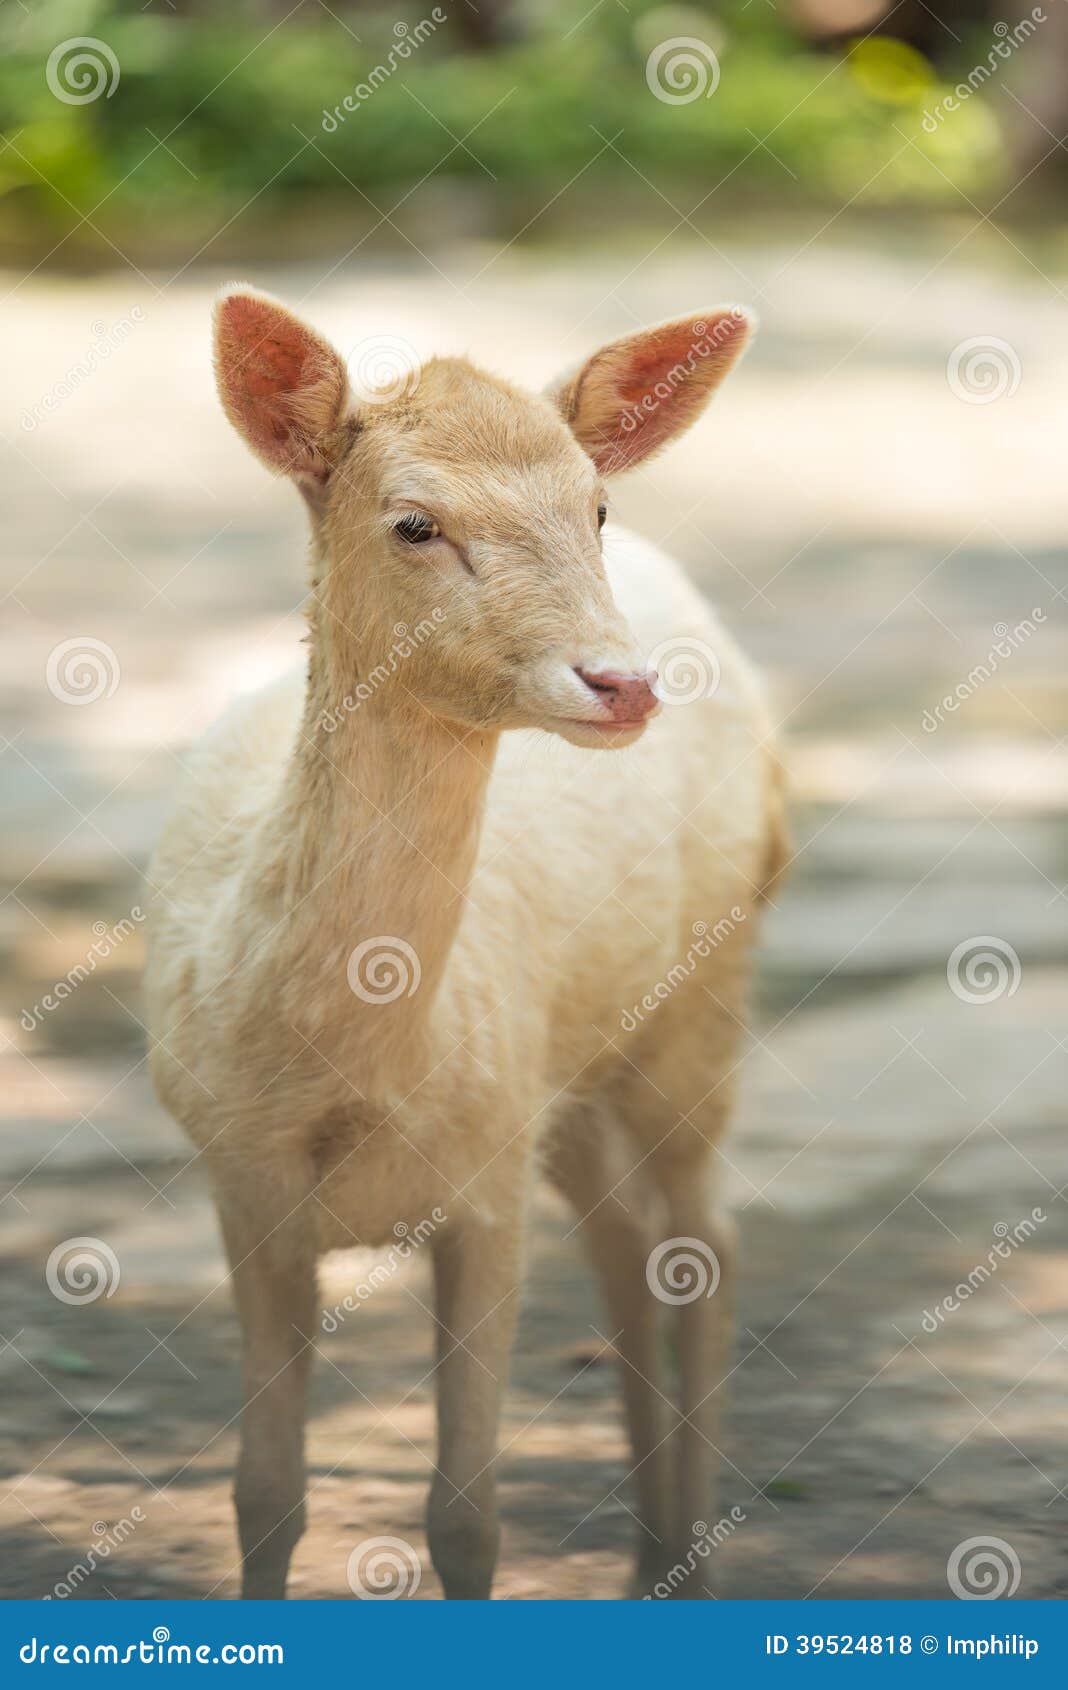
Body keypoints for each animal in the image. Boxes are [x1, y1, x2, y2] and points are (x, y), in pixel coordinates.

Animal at [144, 284, 786, 1601]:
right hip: (566, 1069)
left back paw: (690, 1556)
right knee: (625, 1239)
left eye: (596, 503)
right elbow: (264, 1494)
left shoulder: (485, 1180)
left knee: (702, 1240)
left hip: (707, 991)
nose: (622, 681)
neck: (349, 1077)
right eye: (414, 522)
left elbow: (465, 1515)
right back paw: (650, 1553)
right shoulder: (244, 1179)